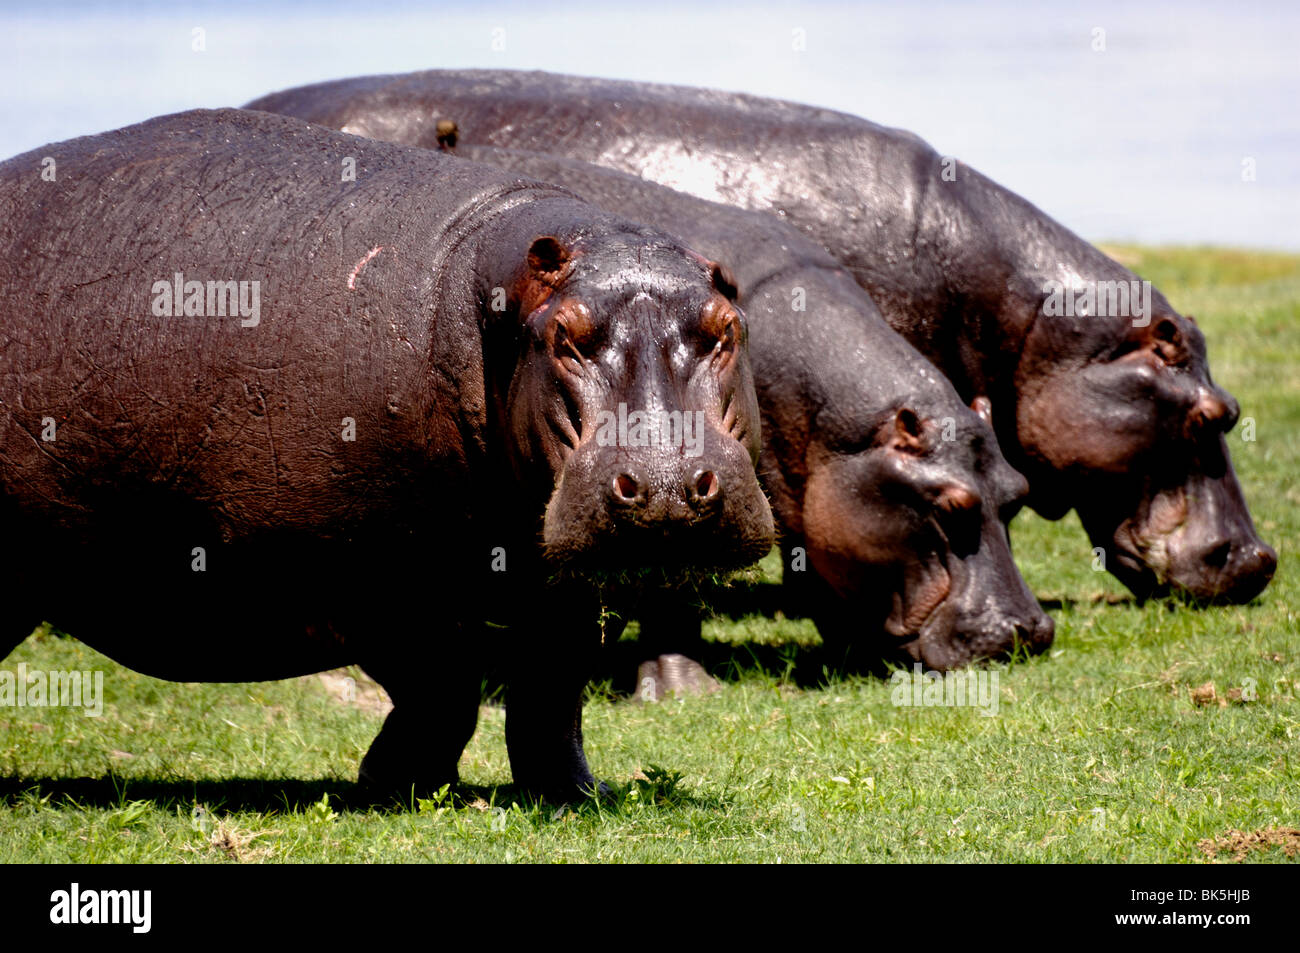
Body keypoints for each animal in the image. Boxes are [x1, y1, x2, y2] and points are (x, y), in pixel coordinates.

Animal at [0, 108, 774, 802]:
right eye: (566, 336)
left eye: (727, 327)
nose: (668, 485)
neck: (486, 304)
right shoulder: (366, 569)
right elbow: (448, 681)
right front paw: (395, 783)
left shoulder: (563, 575)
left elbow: (552, 685)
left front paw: (579, 792)